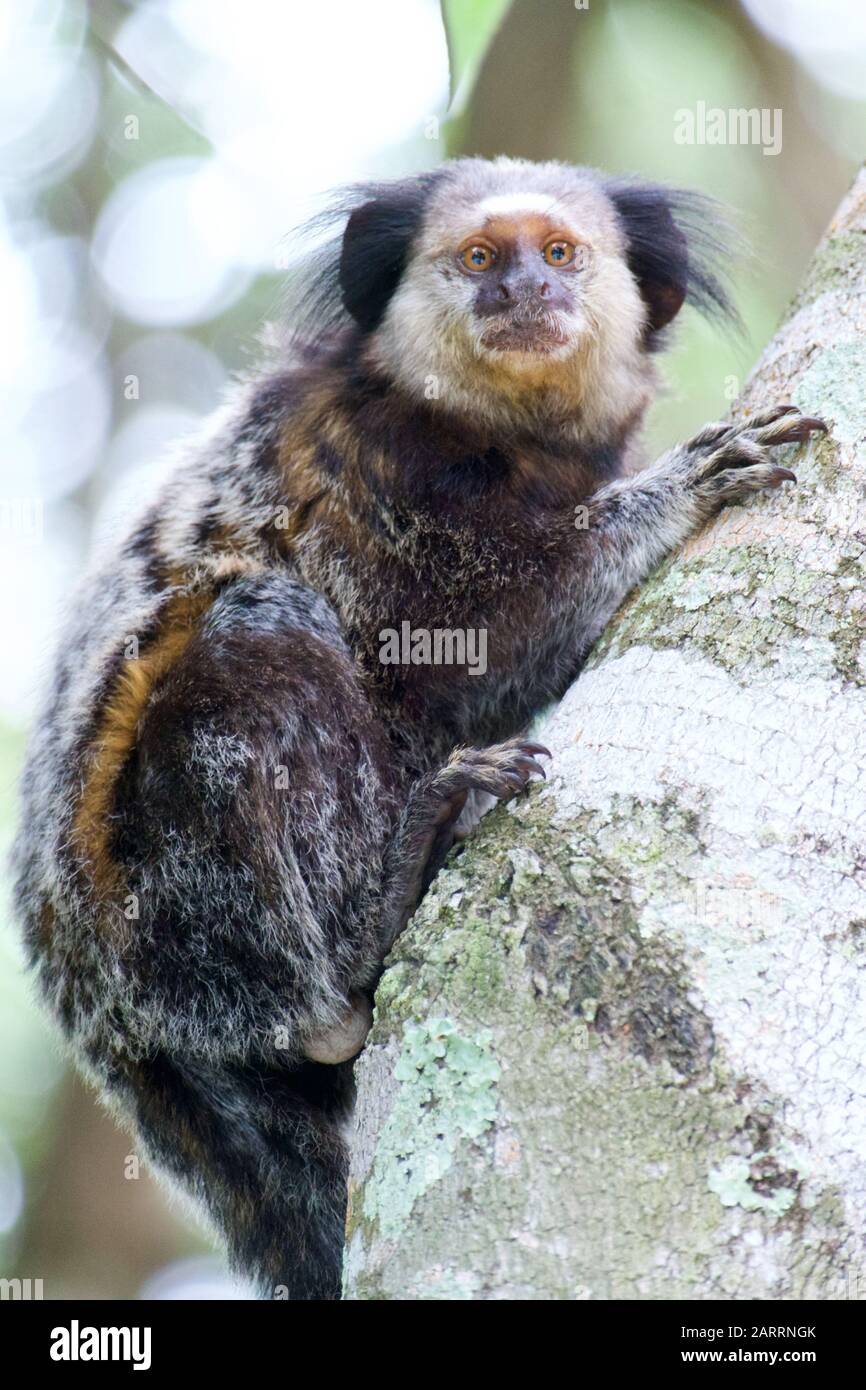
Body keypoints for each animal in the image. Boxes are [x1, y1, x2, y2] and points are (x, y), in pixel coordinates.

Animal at [13, 156, 826, 1300]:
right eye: (479, 257)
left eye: (560, 251)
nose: (524, 290)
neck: (496, 439)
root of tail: (95, 1013)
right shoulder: (368, 472)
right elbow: (481, 636)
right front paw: (670, 491)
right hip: (154, 915)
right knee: (260, 636)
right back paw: (376, 912)